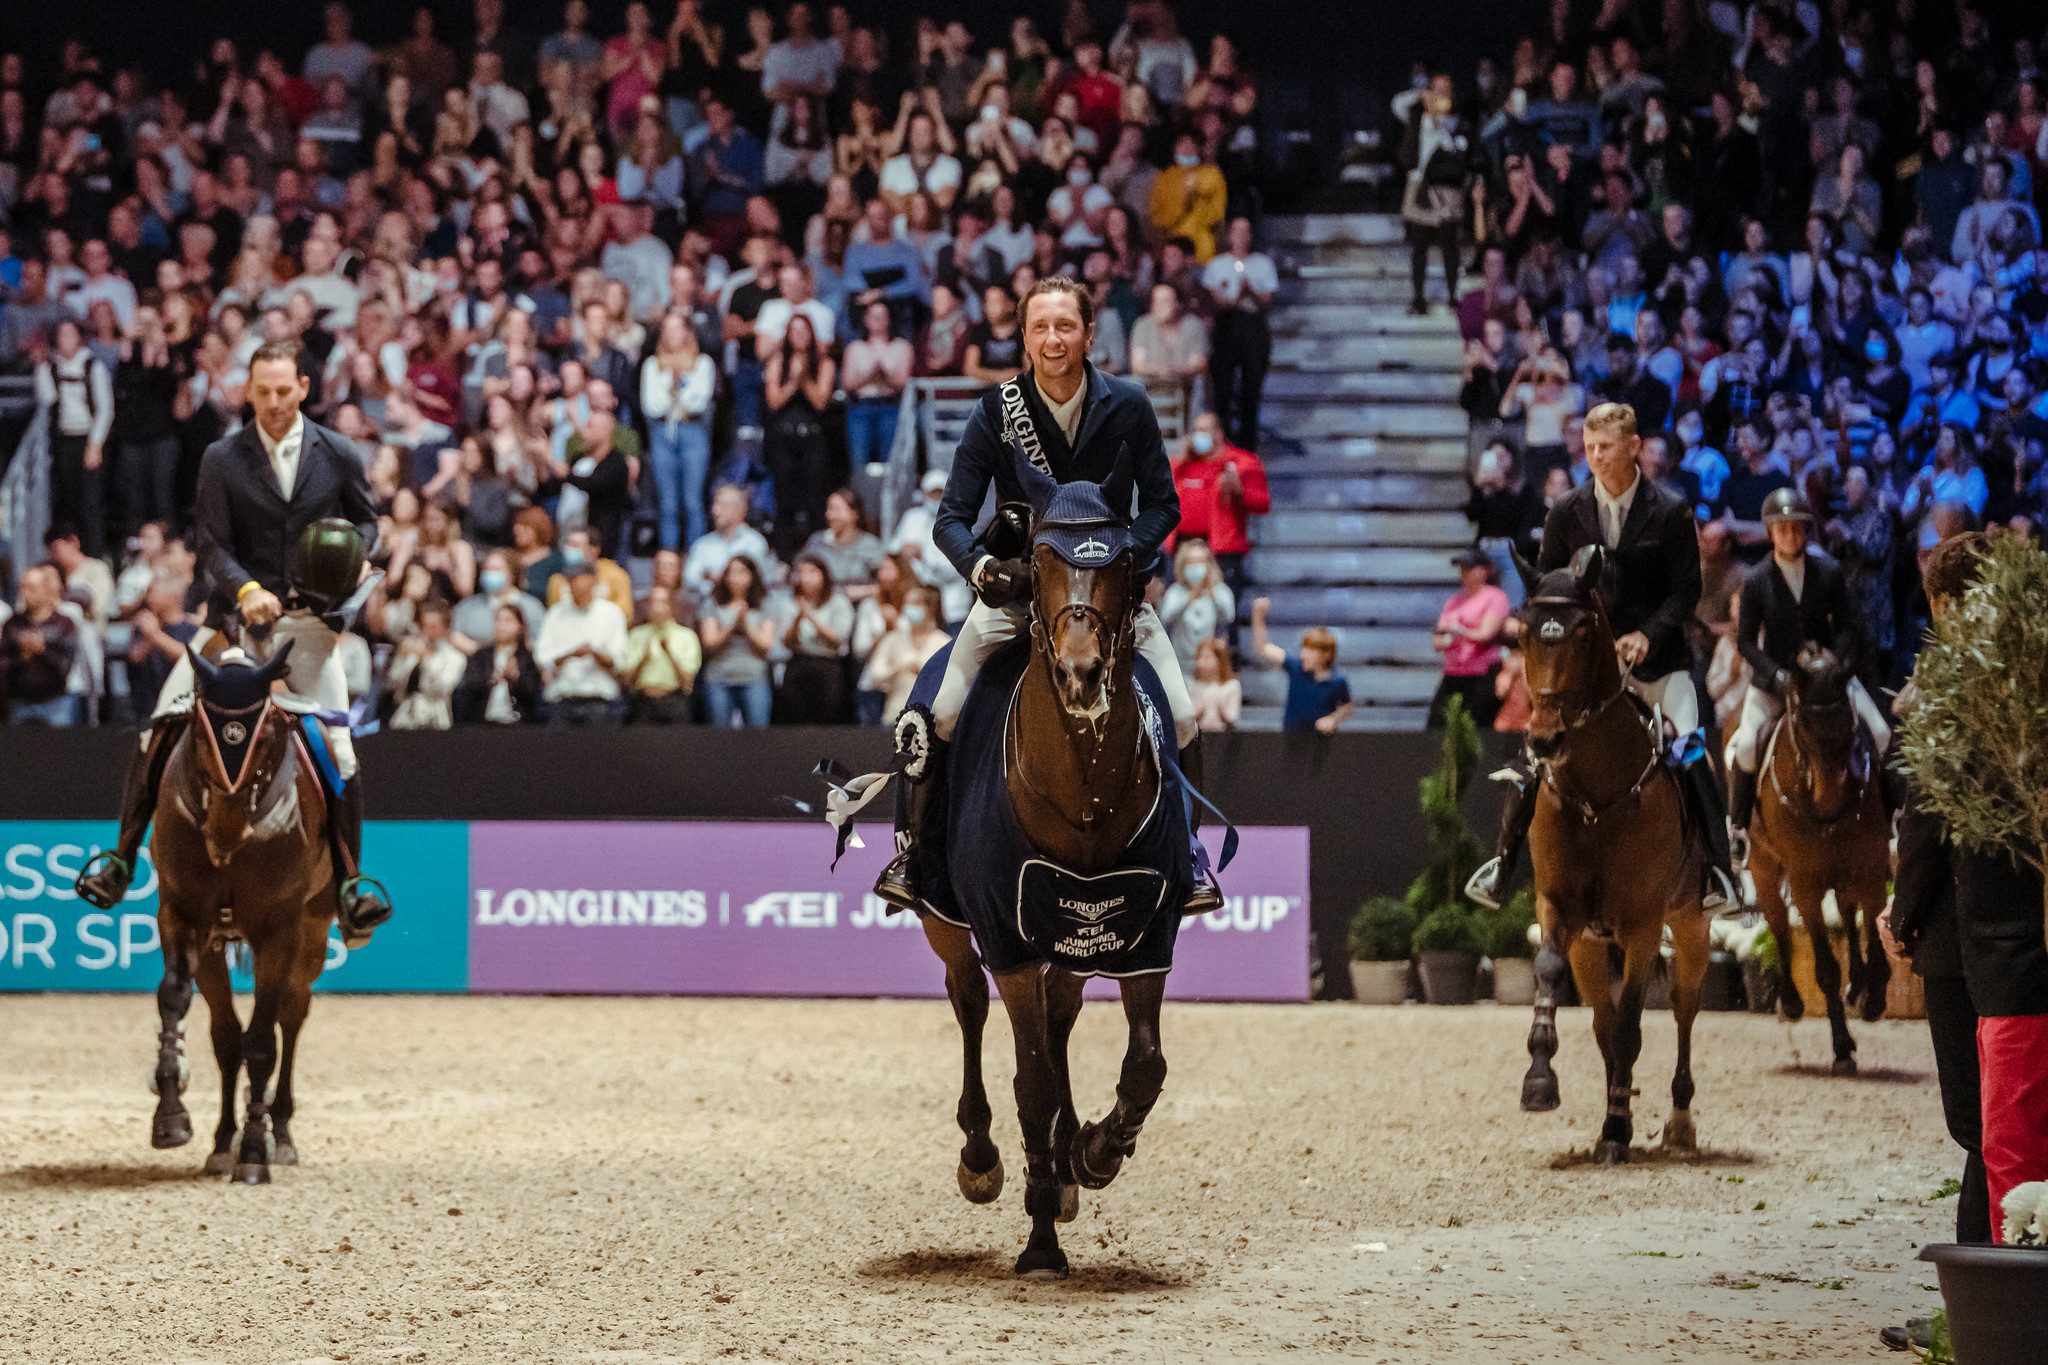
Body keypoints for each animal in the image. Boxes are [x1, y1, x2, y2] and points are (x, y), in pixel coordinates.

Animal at [147, 641, 337, 1185]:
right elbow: (188, 1010)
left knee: (290, 1019)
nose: (224, 835)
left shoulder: (279, 931)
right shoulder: (184, 915)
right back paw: (224, 1140)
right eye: (198, 731)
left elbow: (262, 1043)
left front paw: (254, 1151)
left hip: (312, 936)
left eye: (267, 734)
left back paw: (281, 1133)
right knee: (230, 1032)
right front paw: (173, 1118)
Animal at [1513, 547, 1711, 1163]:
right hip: (1594, 944)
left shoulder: (1644, 923)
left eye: (1583, 633)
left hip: (1691, 923)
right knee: (1604, 1022)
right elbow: (1554, 977)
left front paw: (1621, 1129)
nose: (1545, 739)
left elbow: (1632, 1026)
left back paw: (1677, 1122)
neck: (1598, 795)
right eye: (1522, 633)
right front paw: (1540, 1081)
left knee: (1684, 1007)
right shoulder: (1561, 911)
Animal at [1747, 646, 1891, 1075]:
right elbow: (1826, 968)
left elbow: (1874, 931)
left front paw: (1873, 999)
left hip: (1844, 875)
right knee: (1777, 922)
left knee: (1847, 913)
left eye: (1850, 722)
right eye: (1802, 723)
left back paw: (1858, 988)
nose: (1828, 802)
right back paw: (1791, 1002)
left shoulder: (1870, 869)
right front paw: (1842, 1047)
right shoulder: (1805, 883)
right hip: (1764, 868)